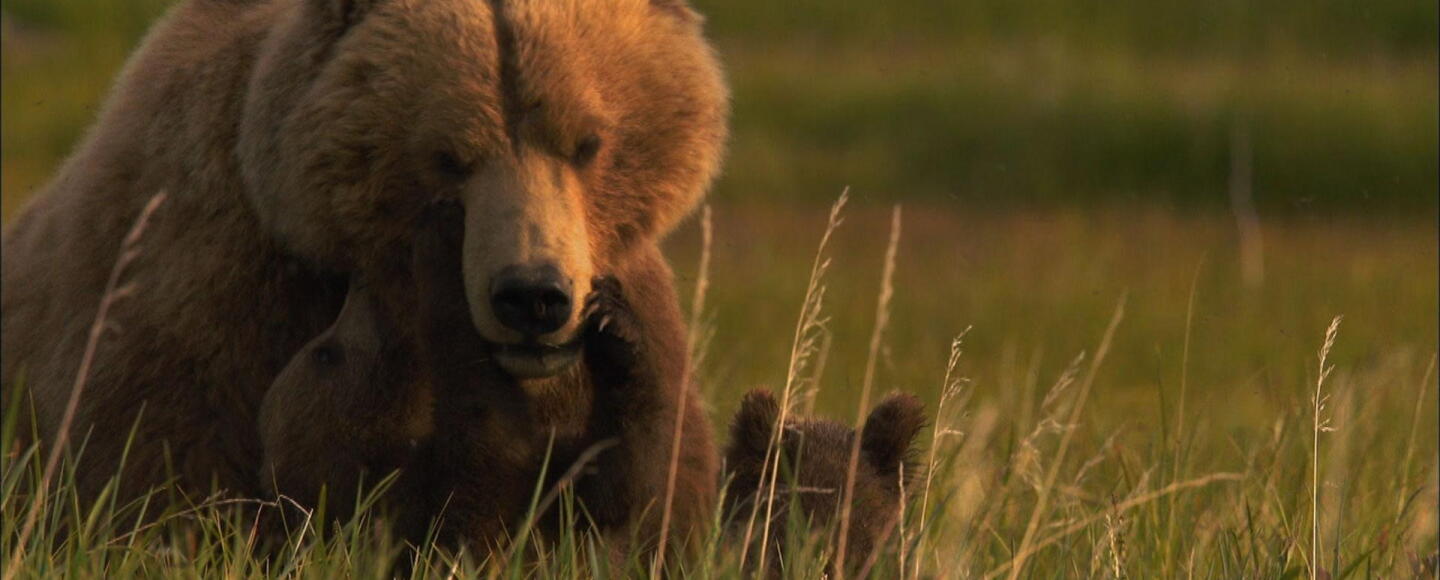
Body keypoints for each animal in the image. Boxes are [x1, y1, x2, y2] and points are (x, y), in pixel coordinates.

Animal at [0, 0, 726, 544]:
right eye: (449, 156)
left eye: (588, 142)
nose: (532, 297)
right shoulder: (205, 290)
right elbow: (163, 476)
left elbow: (649, 496)